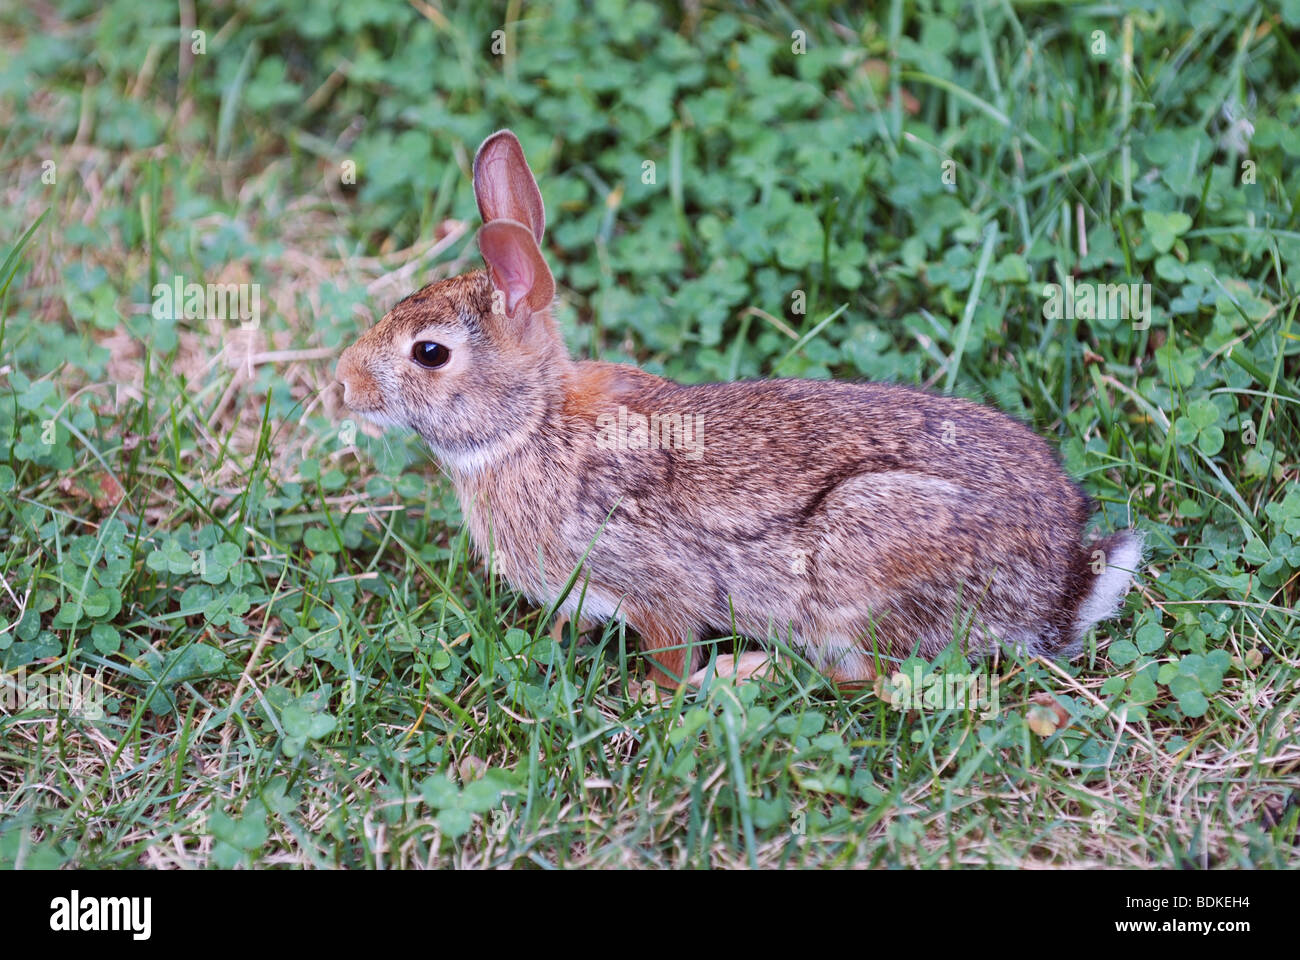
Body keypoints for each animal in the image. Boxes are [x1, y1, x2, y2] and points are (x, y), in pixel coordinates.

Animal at [336, 129, 1144, 689]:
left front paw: (659, 694)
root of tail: (1060, 590)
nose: (343, 385)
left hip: (862, 553)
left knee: (871, 680)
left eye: (429, 353)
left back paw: (750, 672)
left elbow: (670, 649)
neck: (532, 423)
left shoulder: (654, 580)